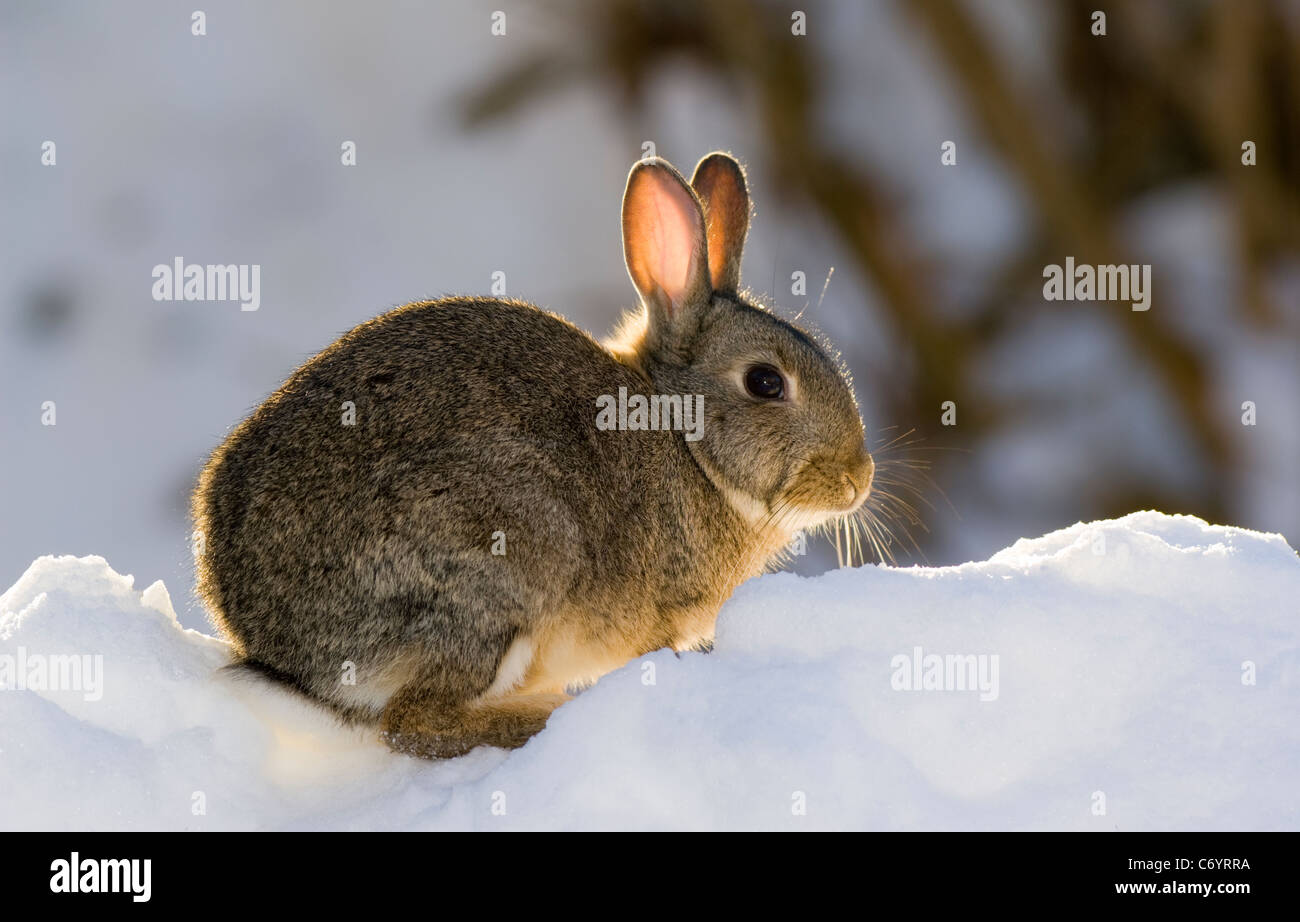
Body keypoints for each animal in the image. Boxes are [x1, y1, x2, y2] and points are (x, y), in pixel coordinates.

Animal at [192, 152, 874, 759]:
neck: (683, 441)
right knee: (414, 723)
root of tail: (273, 644)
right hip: (501, 560)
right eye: (765, 382)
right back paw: (540, 716)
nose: (858, 480)